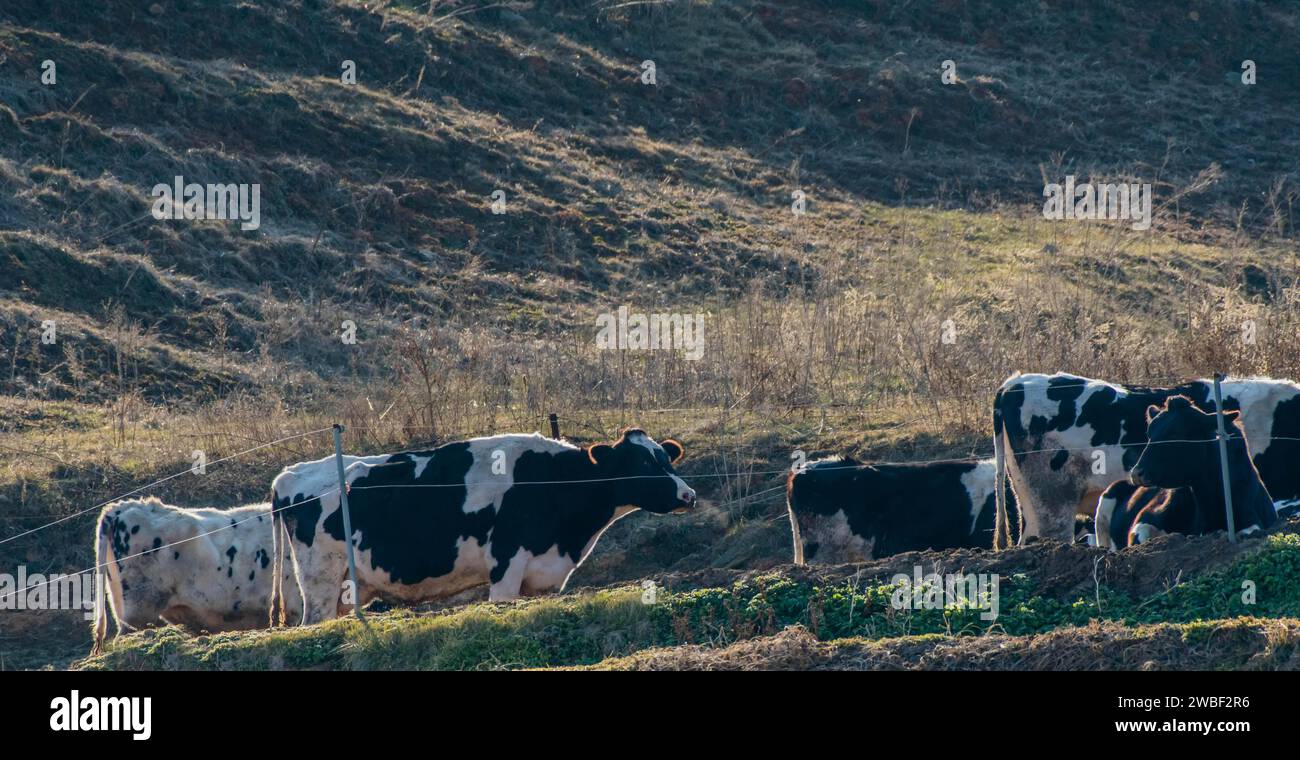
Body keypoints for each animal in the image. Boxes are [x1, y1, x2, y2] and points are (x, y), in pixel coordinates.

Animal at [269, 429, 696, 625]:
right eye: (642, 464)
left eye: (666, 458)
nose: (688, 494)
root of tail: (289, 475)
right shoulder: (507, 565)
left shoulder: (546, 576)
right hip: (320, 580)